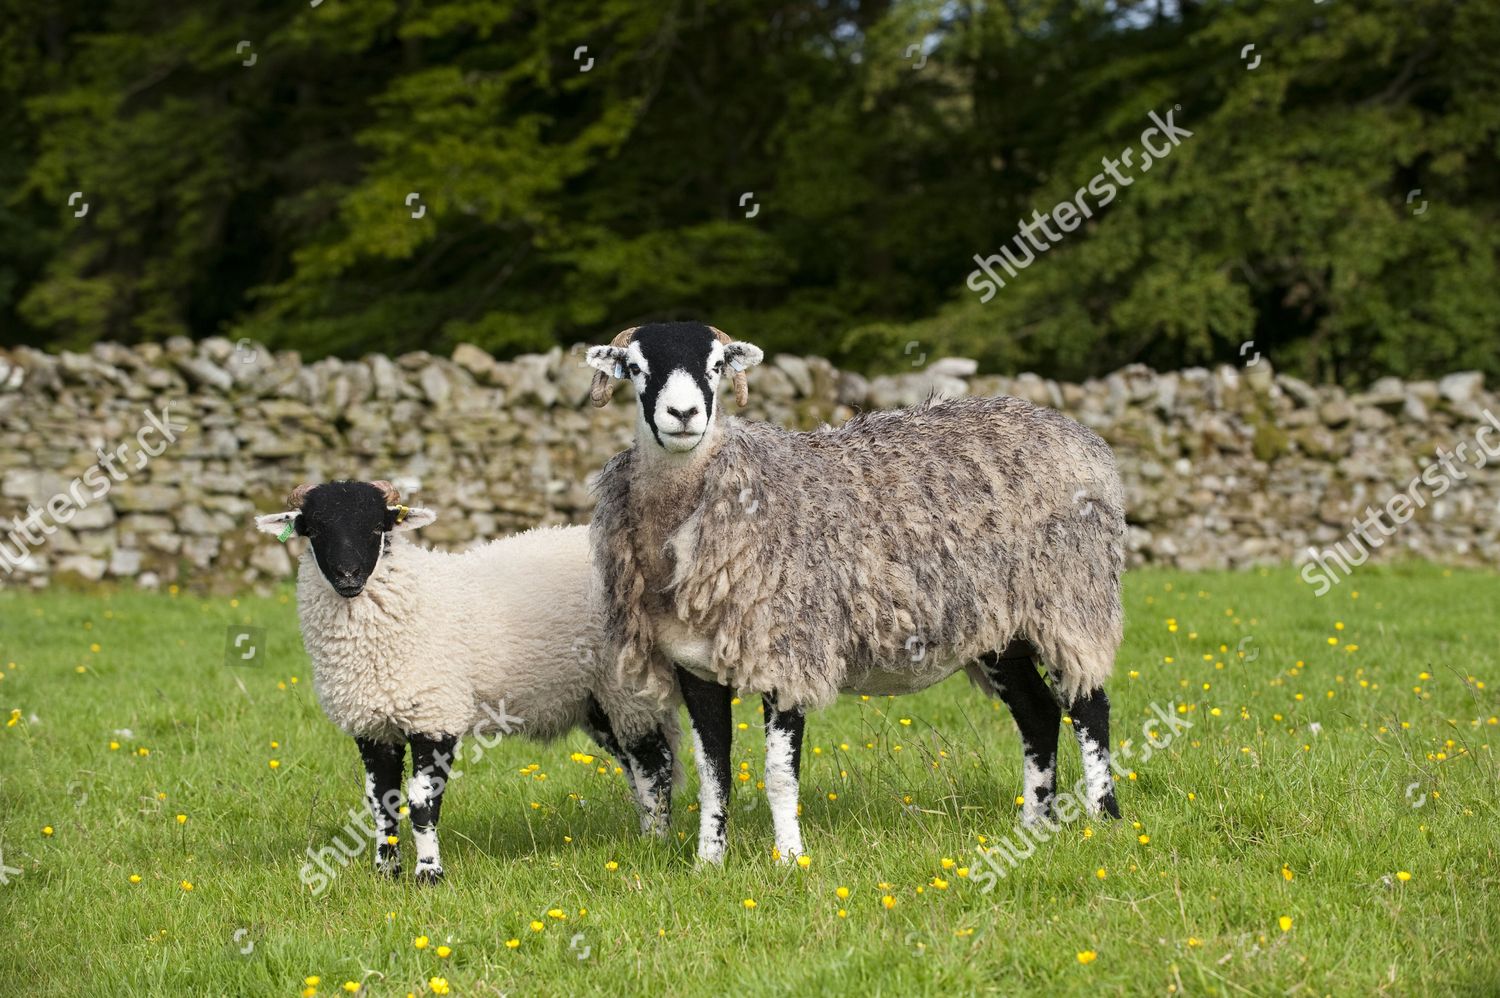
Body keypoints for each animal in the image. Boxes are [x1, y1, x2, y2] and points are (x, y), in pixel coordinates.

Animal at [254, 480, 676, 884]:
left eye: (377, 527)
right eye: (314, 529)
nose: (348, 576)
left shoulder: (435, 714)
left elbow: (421, 803)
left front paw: (428, 874)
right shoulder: (373, 727)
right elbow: (381, 801)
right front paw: (385, 873)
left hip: (628, 688)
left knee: (653, 763)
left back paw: (656, 840)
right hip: (595, 701)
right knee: (633, 764)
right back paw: (645, 833)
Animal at [584, 322, 1125, 864]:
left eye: (716, 366)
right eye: (635, 367)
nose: (683, 415)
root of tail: (1078, 435)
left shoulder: (789, 652)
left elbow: (778, 775)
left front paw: (789, 861)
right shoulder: (694, 667)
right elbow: (713, 773)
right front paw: (709, 863)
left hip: (1072, 599)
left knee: (1089, 706)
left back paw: (1102, 819)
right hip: (1001, 627)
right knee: (1039, 714)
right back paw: (1034, 822)